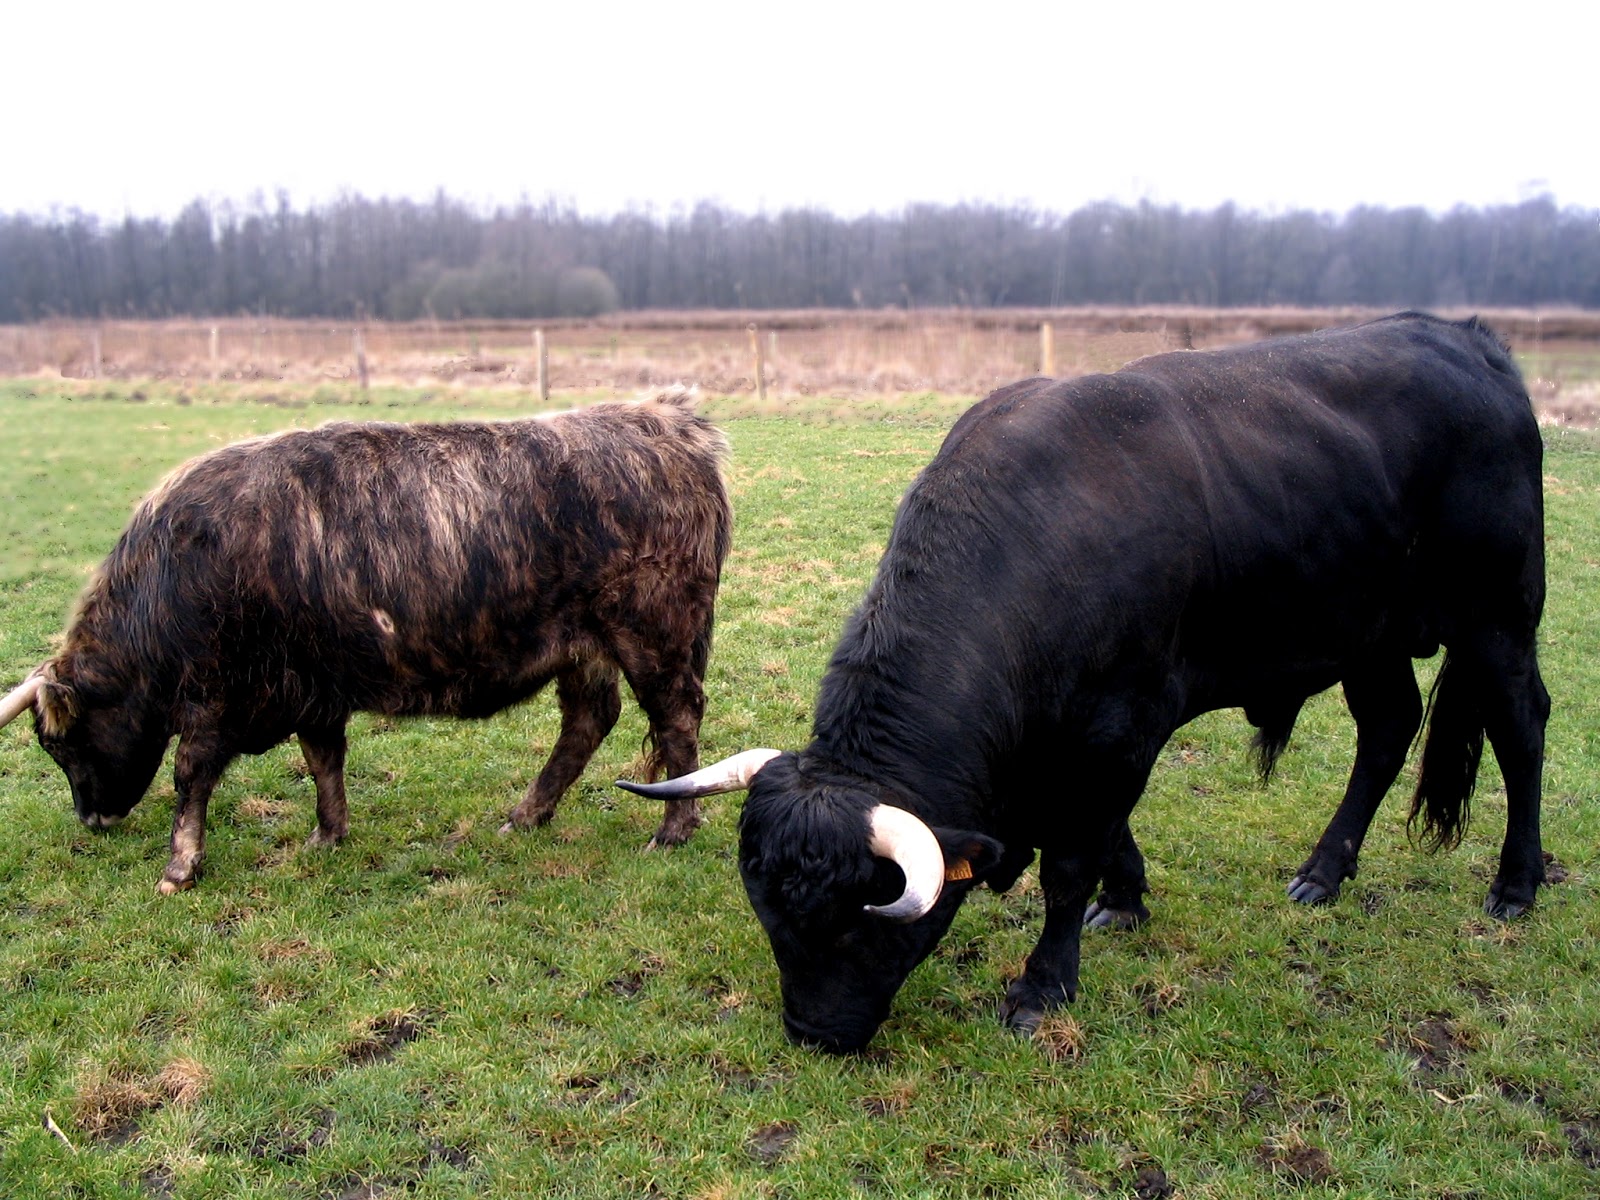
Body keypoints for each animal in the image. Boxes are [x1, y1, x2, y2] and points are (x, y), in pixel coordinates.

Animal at [0, 388, 730, 893]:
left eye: (59, 744)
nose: (90, 819)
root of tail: (671, 422)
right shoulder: (311, 688)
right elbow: (324, 758)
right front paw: (327, 836)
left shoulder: (215, 695)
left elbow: (190, 774)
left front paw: (179, 868)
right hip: (585, 646)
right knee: (588, 721)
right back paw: (526, 816)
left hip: (653, 634)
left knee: (676, 722)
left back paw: (672, 831)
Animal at [620, 313, 1549, 1053]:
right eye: (771, 918)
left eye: (863, 923)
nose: (812, 1035)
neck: (1036, 540)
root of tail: (1467, 339)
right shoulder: (1084, 745)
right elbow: (1110, 834)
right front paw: (1128, 900)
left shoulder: (1121, 727)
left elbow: (1071, 862)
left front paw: (1043, 985)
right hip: (1366, 632)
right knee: (1389, 728)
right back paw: (1323, 872)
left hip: (1498, 616)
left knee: (1521, 727)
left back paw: (1516, 883)